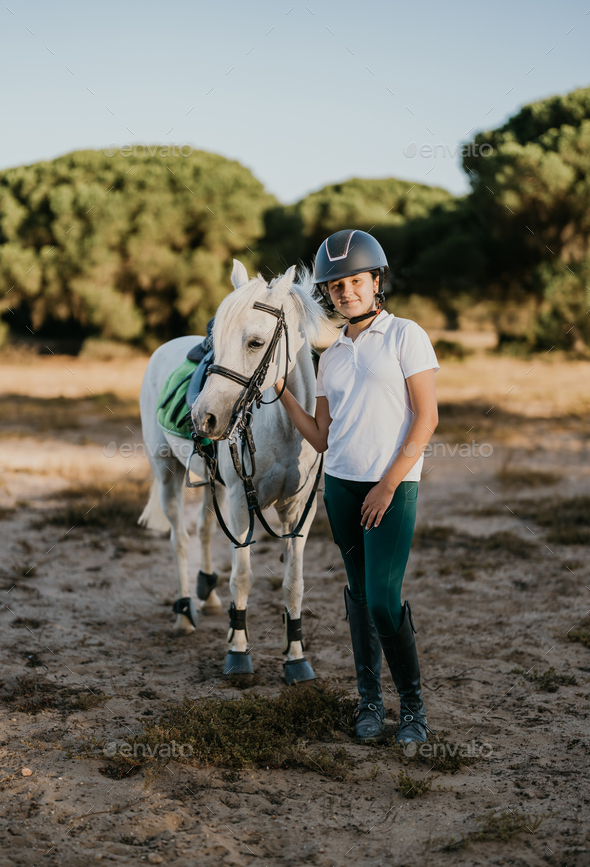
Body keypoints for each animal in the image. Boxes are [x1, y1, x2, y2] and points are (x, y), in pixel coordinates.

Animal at [138, 260, 328, 682]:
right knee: (180, 539)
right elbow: (242, 577)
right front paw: (238, 652)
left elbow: (294, 583)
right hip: (167, 472)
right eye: (216, 340)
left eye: (255, 343)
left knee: (206, 530)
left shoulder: (298, 512)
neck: (286, 427)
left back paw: (207, 597)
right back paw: (185, 612)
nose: (202, 418)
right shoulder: (243, 504)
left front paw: (296, 658)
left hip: (215, 484)